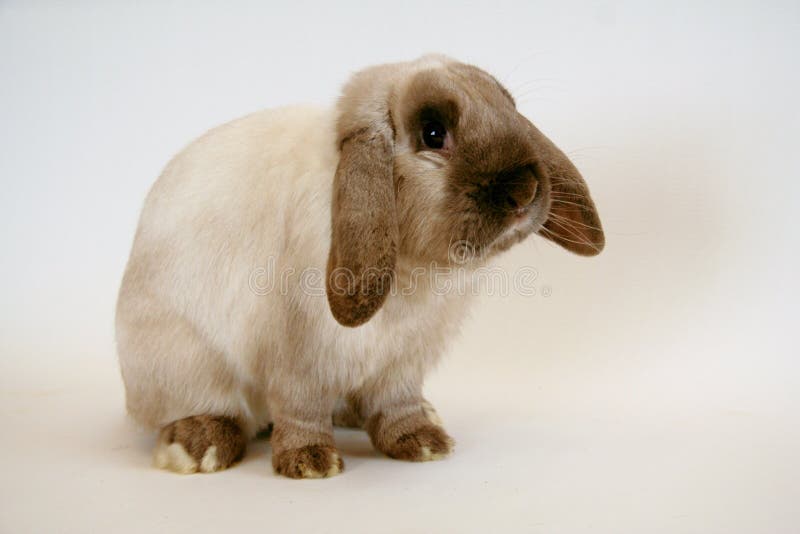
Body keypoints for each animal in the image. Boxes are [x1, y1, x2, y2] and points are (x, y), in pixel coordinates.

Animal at [115, 54, 604, 479]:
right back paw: (199, 446)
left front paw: (423, 442)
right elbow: (302, 408)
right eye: (433, 133)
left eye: (510, 109)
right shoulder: (301, 356)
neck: (415, 266)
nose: (525, 192)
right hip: (183, 362)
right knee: (210, 409)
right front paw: (310, 462)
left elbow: (397, 404)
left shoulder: (405, 361)